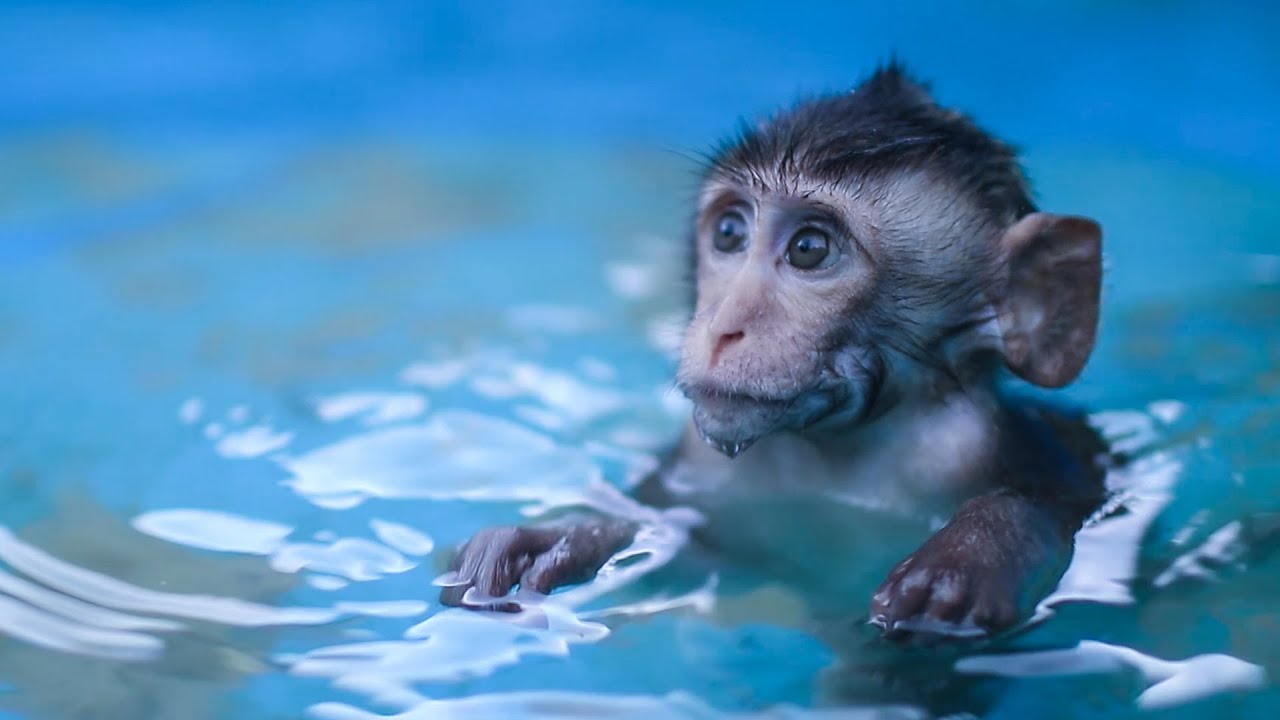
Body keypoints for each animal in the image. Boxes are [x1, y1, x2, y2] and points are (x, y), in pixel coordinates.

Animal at [440, 63, 1108, 643]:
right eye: (730, 232)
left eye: (810, 248)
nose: (721, 326)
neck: (842, 458)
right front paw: (562, 539)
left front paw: (975, 552)